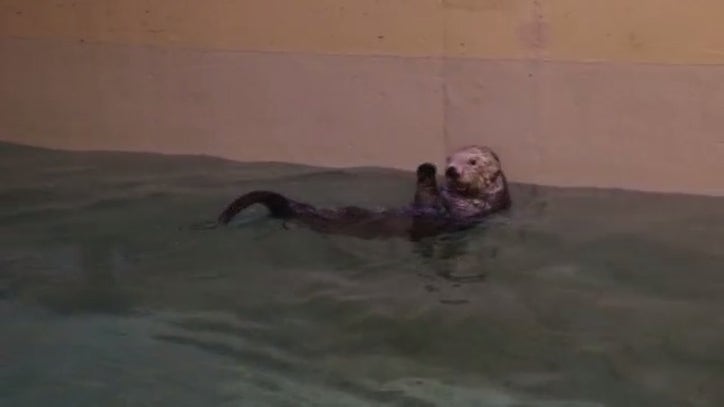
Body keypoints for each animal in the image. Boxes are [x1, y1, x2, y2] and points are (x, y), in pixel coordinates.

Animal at [216, 145, 511, 240]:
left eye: (472, 161)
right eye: (450, 158)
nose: (450, 170)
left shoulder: (453, 213)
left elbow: (427, 198)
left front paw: (427, 170)